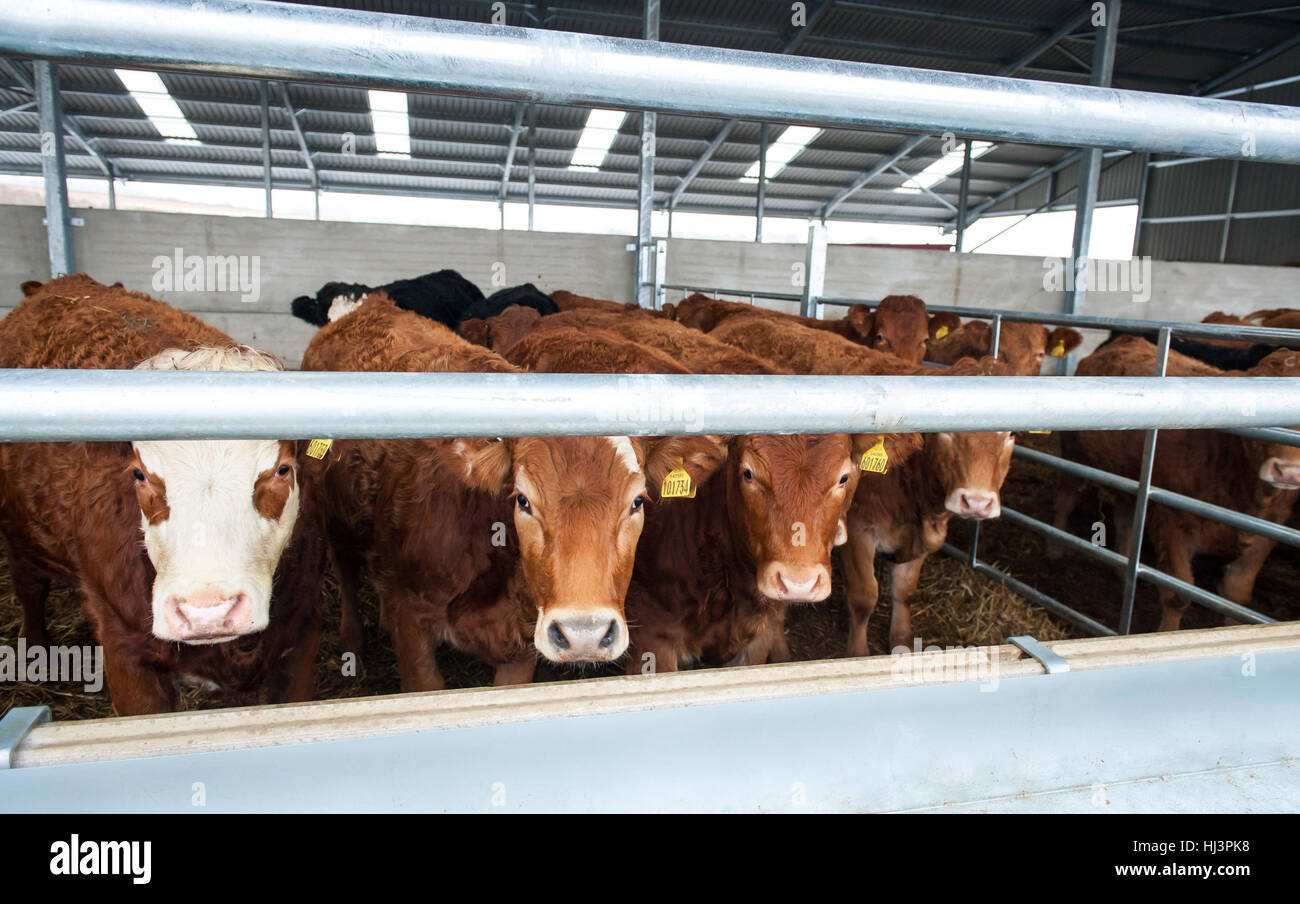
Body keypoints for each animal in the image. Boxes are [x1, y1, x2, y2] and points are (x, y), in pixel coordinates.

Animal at [0, 275, 325, 715]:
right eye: (140, 475)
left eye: (282, 470)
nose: (207, 612)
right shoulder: (125, 654)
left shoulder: (301, 639)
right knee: (30, 588)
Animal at [300, 293, 723, 689]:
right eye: (523, 499)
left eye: (637, 501)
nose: (584, 635)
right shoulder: (410, 620)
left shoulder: (519, 649)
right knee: (345, 571)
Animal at [1055, 334, 1300, 631]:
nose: (1288, 472)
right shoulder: (1171, 521)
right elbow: (1177, 593)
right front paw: (1166, 633)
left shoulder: (1269, 530)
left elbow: (1237, 596)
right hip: (1073, 454)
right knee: (1066, 498)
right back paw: (1054, 548)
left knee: (1126, 520)